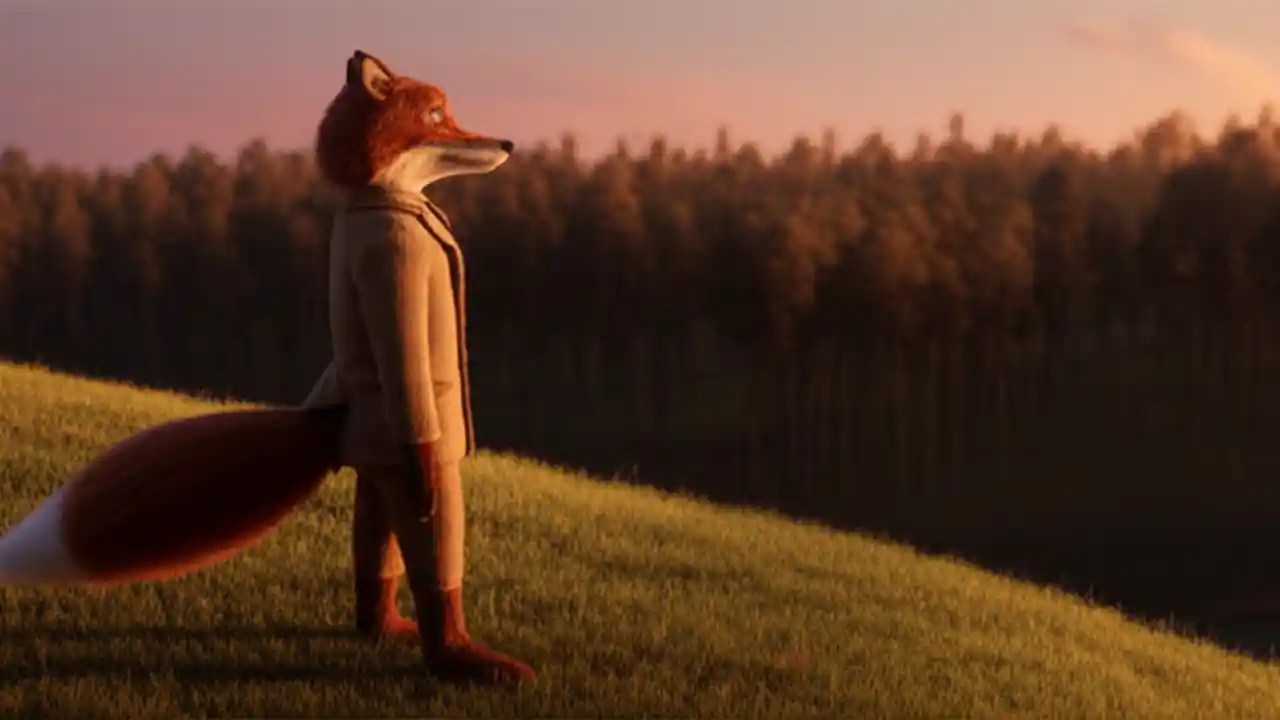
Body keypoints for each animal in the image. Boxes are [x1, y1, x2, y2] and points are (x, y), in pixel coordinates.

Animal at [0, 50, 534, 685]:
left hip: (375, 455)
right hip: (409, 449)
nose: (507, 143)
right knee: (429, 534)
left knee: (373, 536)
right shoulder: (393, 273)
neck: (387, 200)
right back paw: (460, 657)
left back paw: (383, 628)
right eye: (435, 115)